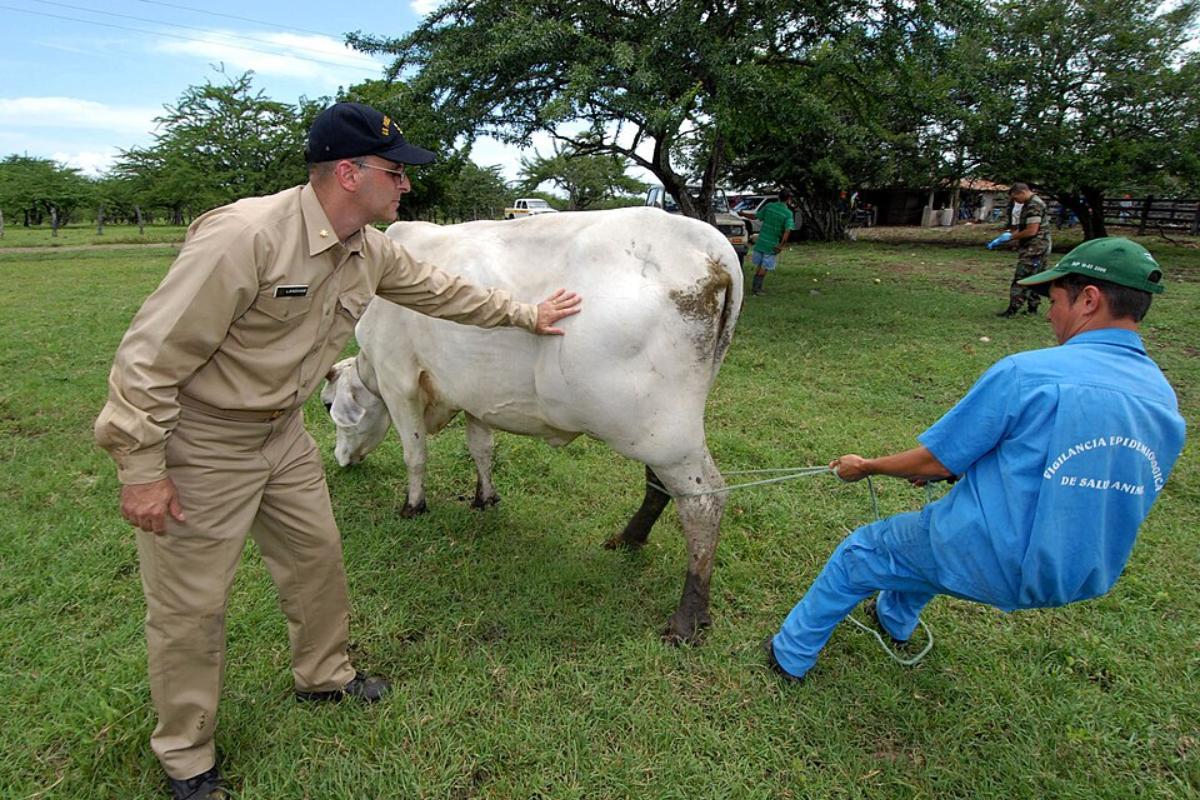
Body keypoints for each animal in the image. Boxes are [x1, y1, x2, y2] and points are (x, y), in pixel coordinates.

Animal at [320, 207, 743, 644]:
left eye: (327, 405)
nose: (340, 459)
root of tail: (704, 240)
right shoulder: (475, 394)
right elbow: (481, 448)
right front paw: (484, 497)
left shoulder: (398, 380)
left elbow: (415, 453)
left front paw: (413, 505)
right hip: (664, 433)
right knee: (659, 485)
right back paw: (628, 539)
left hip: (664, 437)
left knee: (705, 502)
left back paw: (688, 616)